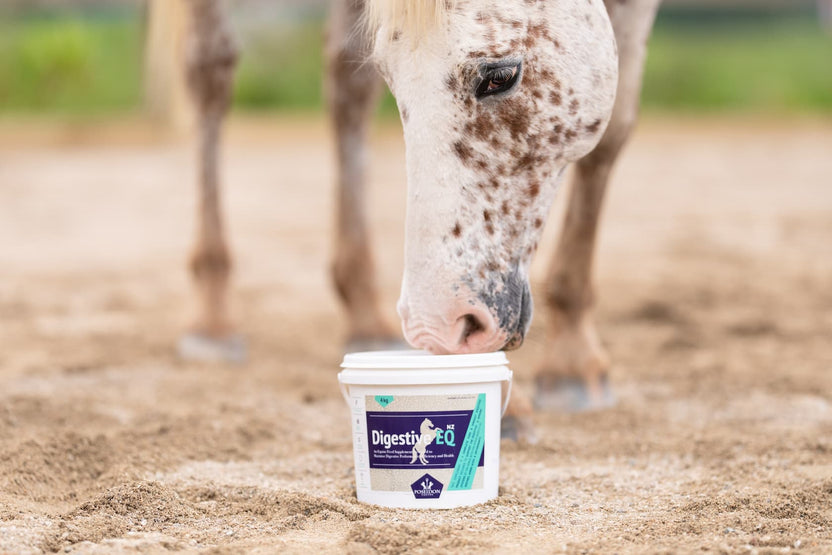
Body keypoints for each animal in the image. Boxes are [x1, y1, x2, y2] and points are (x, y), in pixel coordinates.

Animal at [173, 0, 662, 441]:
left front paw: (573, 361)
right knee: (209, 67)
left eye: (501, 76)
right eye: (392, 76)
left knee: (345, 80)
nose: (438, 328)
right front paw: (509, 405)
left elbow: (613, 131)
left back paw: (365, 316)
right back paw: (213, 319)